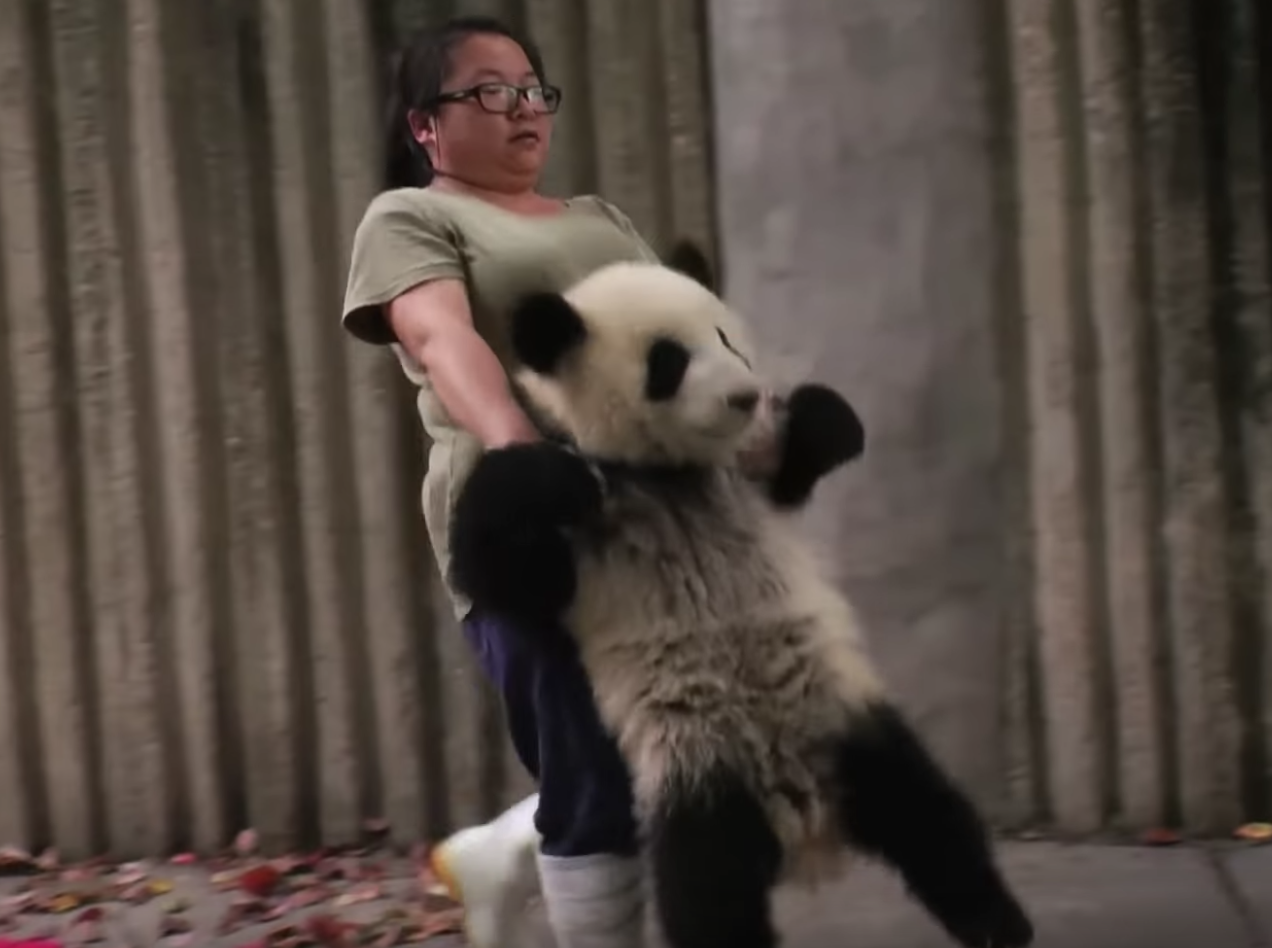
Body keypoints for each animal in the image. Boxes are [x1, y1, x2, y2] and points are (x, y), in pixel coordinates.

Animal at [446, 245, 1035, 948]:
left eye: (726, 336)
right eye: (669, 360)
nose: (746, 396)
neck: (667, 476)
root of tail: (803, 814)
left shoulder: (746, 485)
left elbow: (797, 465)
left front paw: (821, 416)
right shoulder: (585, 544)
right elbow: (505, 568)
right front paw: (540, 477)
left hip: (846, 724)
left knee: (929, 819)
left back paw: (999, 924)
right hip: (698, 771)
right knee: (709, 890)